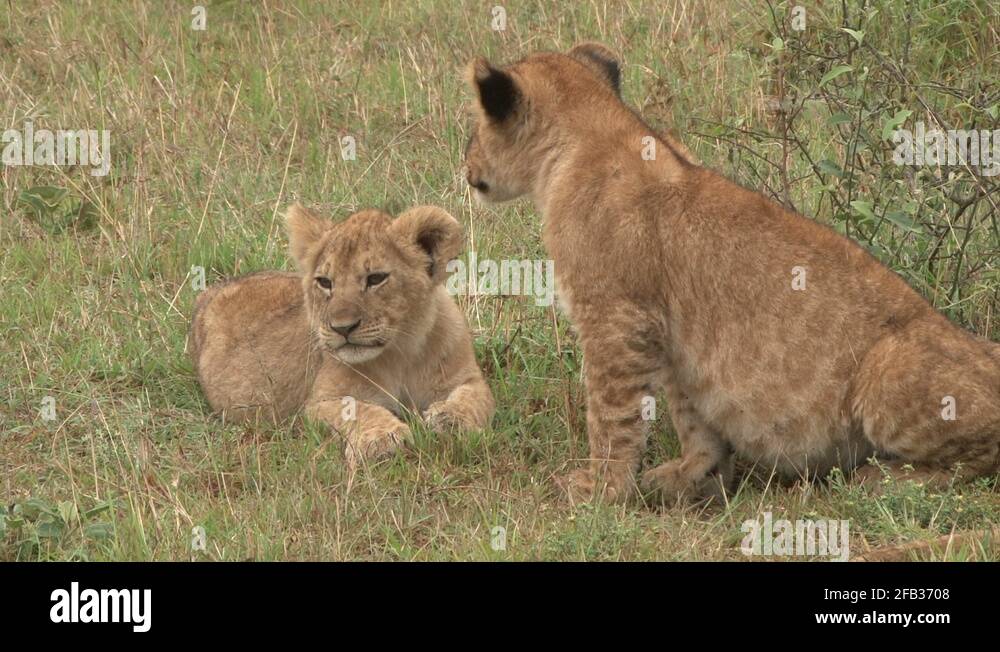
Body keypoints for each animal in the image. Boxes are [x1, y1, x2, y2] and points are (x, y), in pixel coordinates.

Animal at [189, 204, 495, 470]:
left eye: (376, 278)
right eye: (325, 282)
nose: (342, 328)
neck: (401, 351)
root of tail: (209, 292)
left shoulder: (467, 378)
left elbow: (473, 398)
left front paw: (450, 421)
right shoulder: (318, 404)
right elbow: (360, 409)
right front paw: (382, 440)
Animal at [463, 42, 1000, 503]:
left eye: (475, 126)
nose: (464, 166)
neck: (588, 139)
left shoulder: (615, 322)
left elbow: (611, 415)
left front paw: (601, 491)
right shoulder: (672, 339)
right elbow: (692, 417)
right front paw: (692, 476)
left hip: (885, 368)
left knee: (974, 462)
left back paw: (879, 479)